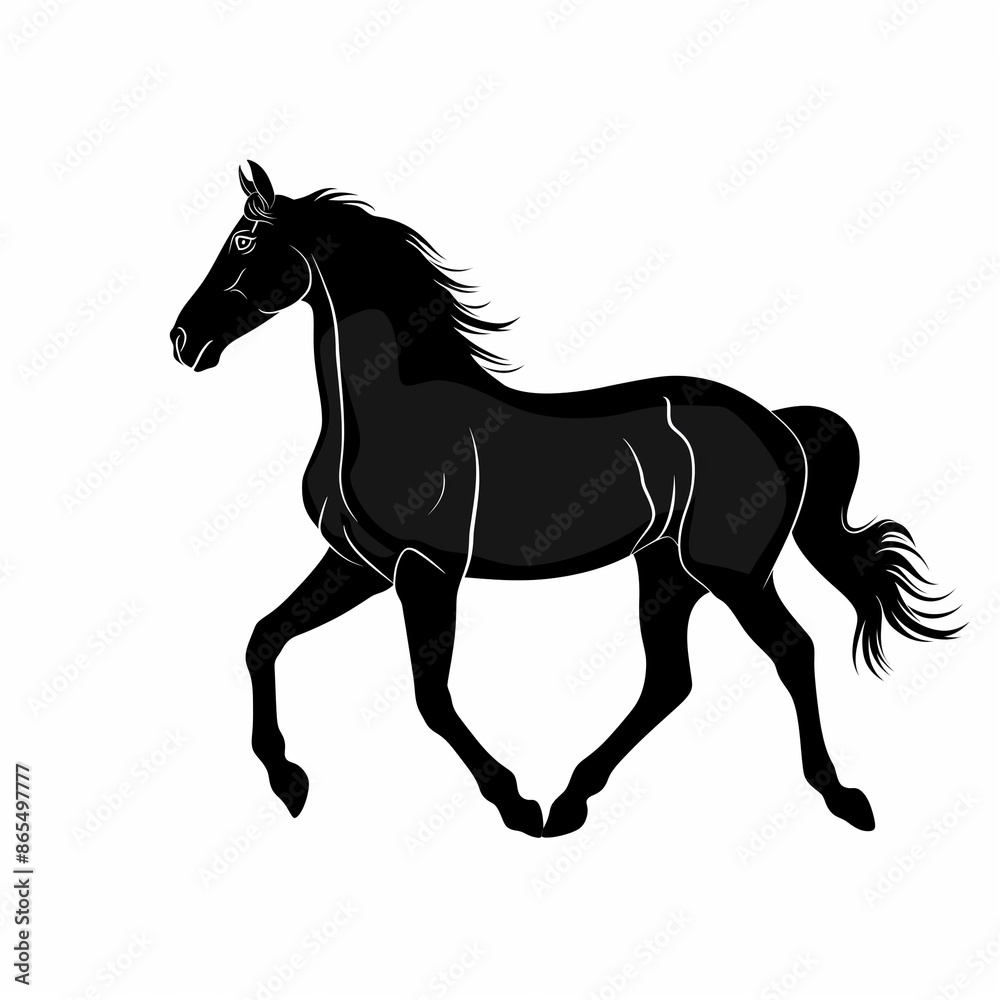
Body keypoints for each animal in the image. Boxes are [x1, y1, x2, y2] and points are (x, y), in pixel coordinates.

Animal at [169, 161, 960, 838]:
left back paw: (842, 797)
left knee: (792, 651)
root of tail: (779, 422)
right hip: (666, 570)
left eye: (243, 242)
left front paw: (514, 802)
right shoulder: (360, 565)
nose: (183, 340)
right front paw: (289, 782)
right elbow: (263, 638)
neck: (387, 414)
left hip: (731, 573)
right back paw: (574, 798)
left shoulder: (428, 571)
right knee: (669, 680)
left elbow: (430, 697)